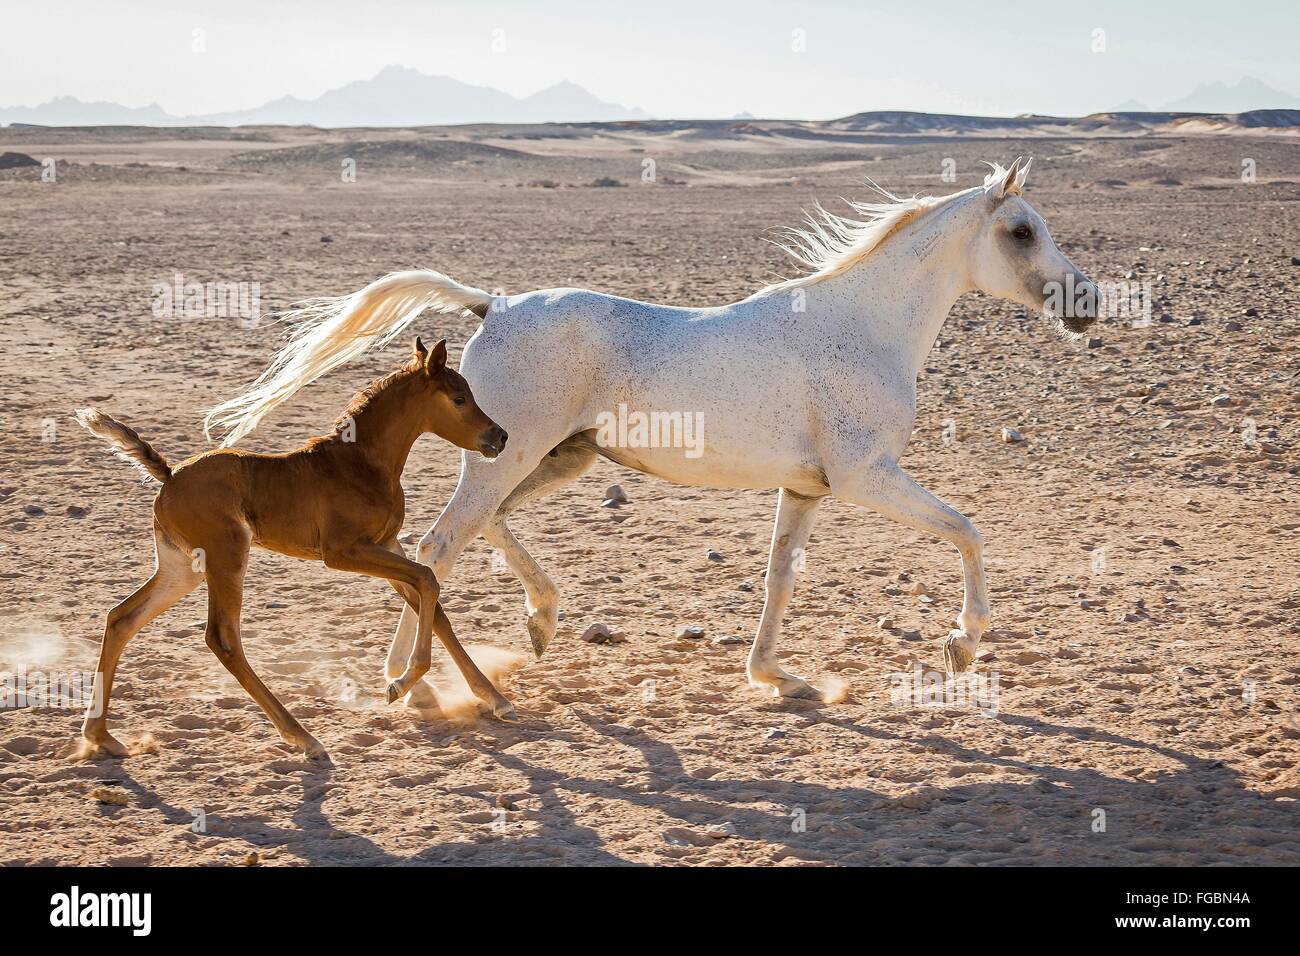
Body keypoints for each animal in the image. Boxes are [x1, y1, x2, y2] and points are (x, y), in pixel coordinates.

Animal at [76, 337, 511, 761]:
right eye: (459, 399)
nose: (500, 437)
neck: (359, 463)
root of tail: (168, 476)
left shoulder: (385, 544)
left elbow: (432, 605)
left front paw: (494, 698)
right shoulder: (343, 552)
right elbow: (428, 579)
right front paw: (401, 684)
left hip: (181, 568)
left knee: (122, 618)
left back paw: (100, 737)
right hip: (226, 558)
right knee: (222, 638)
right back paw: (303, 737)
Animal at [204, 158, 1098, 711]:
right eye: (1021, 231)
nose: (1086, 302)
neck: (862, 326)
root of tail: (496, 304)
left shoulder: (807, 489)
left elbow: (779, 580)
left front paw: (774, 676)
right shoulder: (866, 475)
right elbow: (969, 532)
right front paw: (962, 646)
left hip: (548, 457)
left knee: (483, 530)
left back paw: (538, 622)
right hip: (509, 456)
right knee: (438, 545)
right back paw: (408, 683)